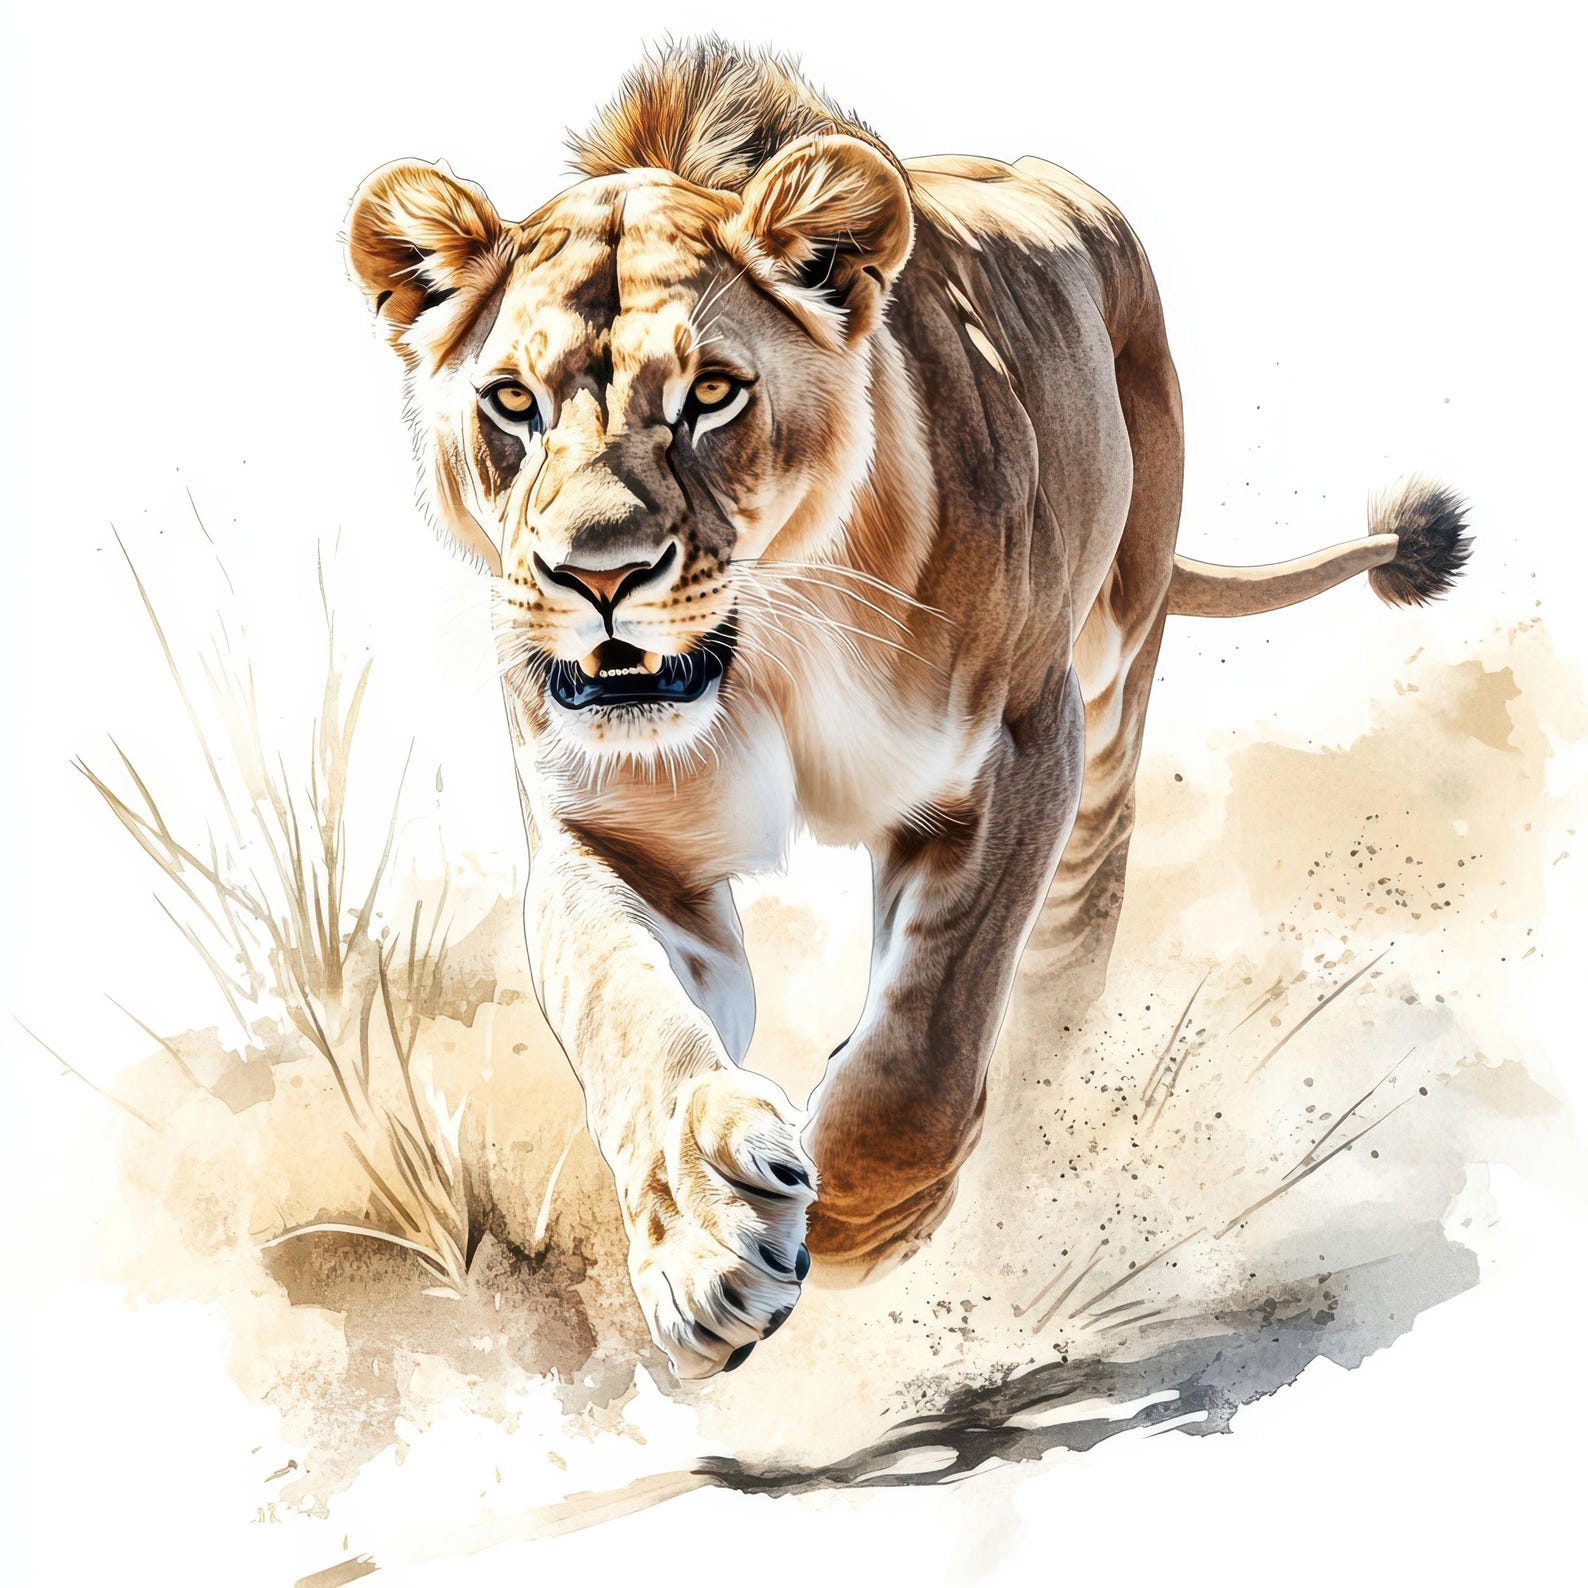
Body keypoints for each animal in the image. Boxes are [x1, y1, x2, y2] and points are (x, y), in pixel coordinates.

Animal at [346, 40, 1469, 1378]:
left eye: (711, 393)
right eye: (511, 403)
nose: (600, 575)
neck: (769, 642)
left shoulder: (1011, 749)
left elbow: (931, 1030)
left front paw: (858, 1220)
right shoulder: (610, 836)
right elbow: (635, 1026)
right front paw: (708, 1248)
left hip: (1114, 666)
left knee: (1070, 940)